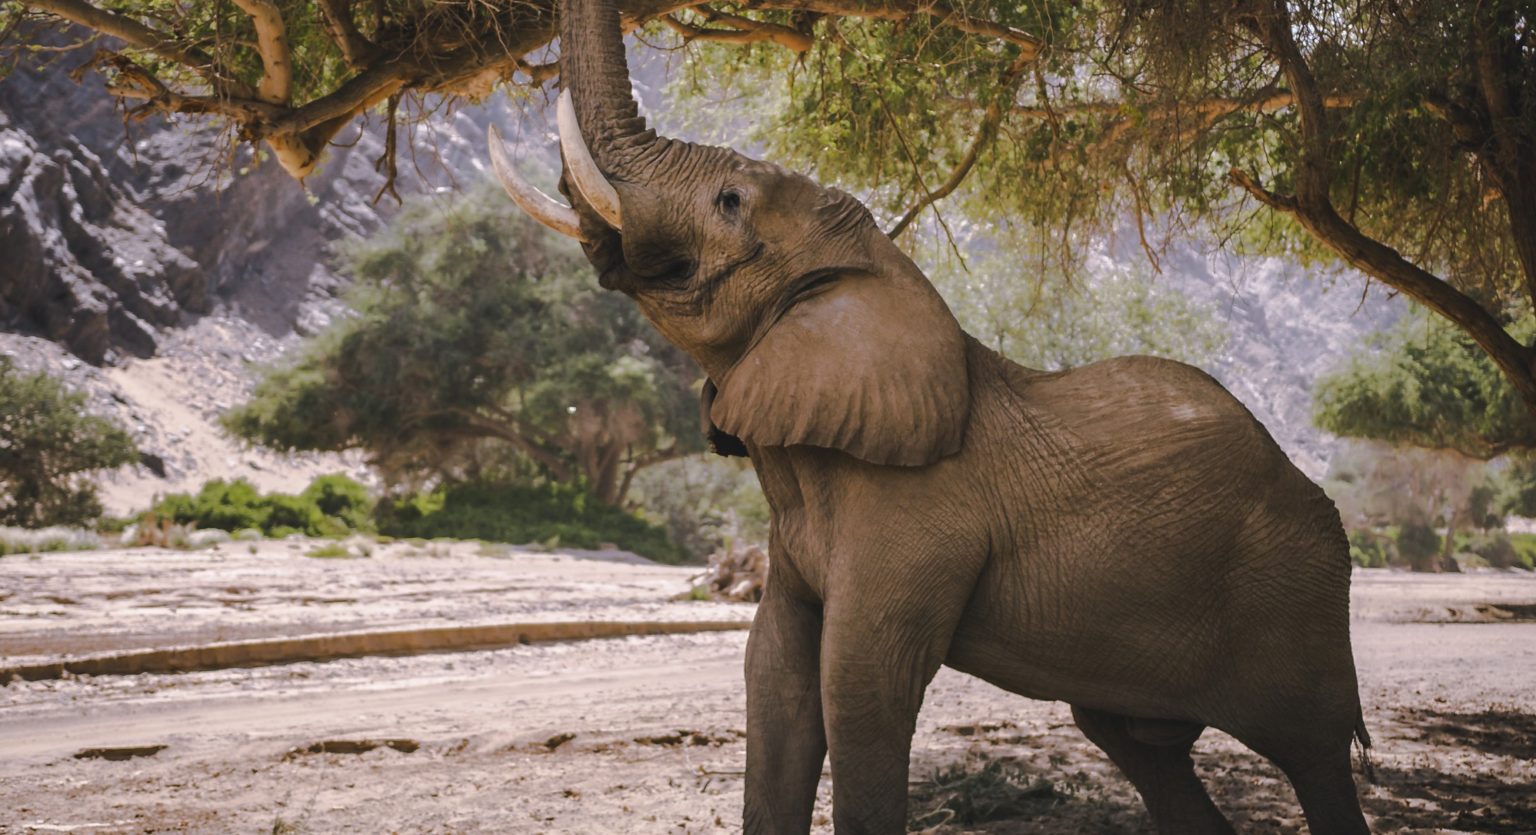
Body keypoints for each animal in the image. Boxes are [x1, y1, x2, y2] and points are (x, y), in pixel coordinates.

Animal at [487, 0, 1372, 831]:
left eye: (731, 200)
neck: (878, 267)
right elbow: (774, 681)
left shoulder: (915, 514)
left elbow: (858, 685)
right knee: (1139, 746)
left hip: (1293, 593)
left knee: (1314, 754)